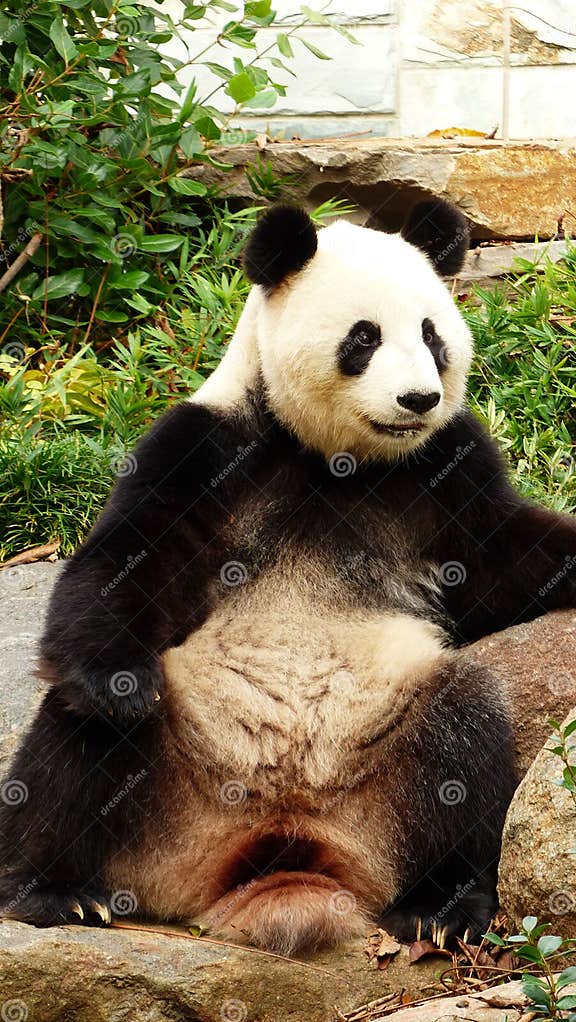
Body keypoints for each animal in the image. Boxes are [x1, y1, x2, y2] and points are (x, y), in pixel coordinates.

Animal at [1, 200, 575, 956]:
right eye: (363, 337)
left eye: (432, 335)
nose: (419, 398)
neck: (337, 458)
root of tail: (283, 846)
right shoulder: (208, 445)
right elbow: (131, 556)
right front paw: (114, 685)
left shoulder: (446, 466)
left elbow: (505, 556)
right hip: (172, 777)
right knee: (71, 744)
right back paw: (54, 890)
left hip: (385, 764)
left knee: (464, 731)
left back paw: (440, 906)